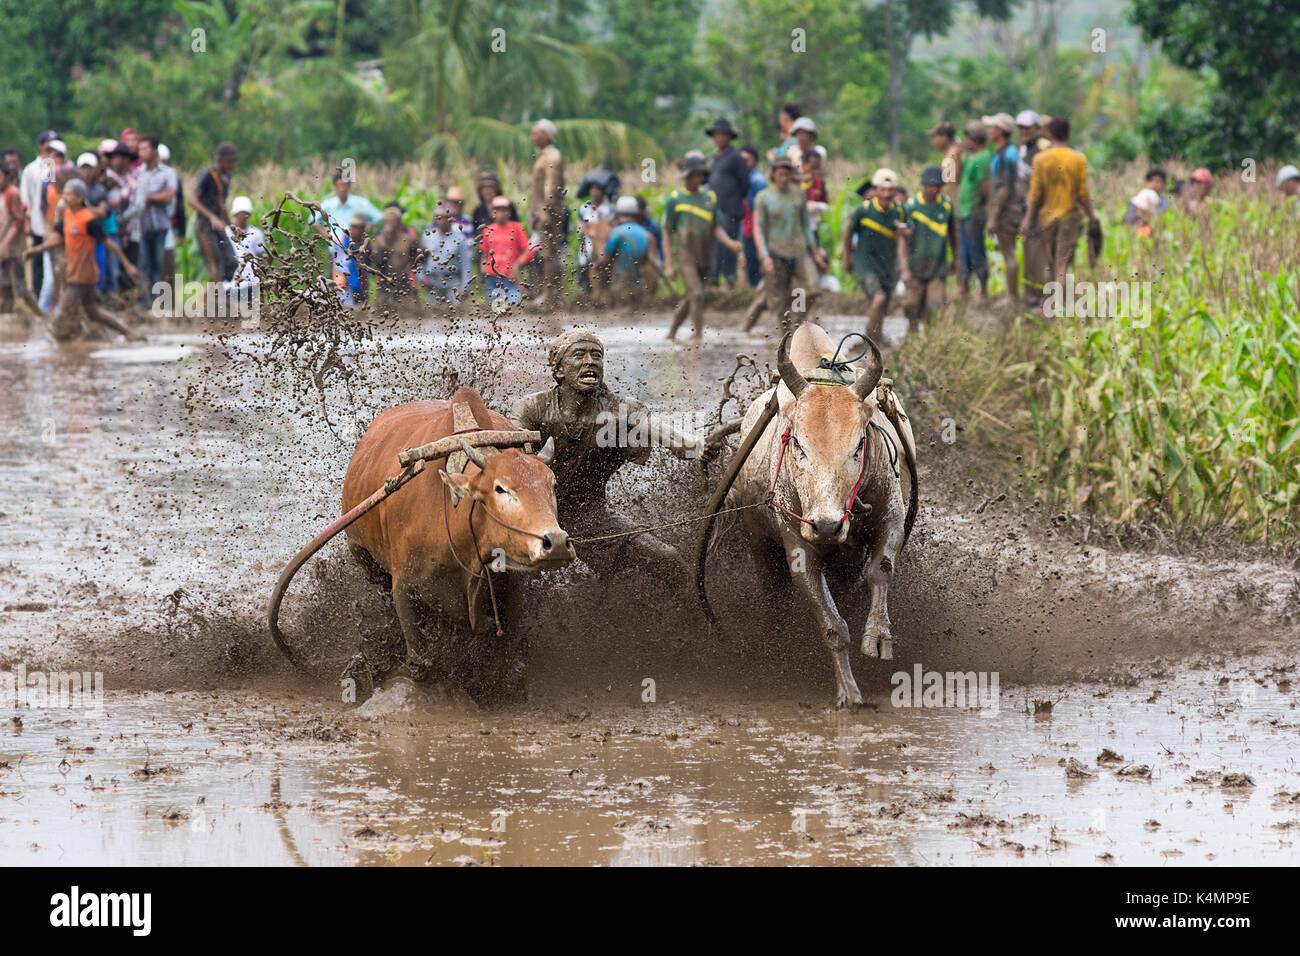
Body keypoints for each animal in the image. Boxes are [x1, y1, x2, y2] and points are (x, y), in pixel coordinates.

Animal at [341, 386, 575, 704]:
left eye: (553, 485)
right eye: (500, 488)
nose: (557, 543)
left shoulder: (511, 591)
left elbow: (506, 658)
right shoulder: (403, 588)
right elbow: (422, 664)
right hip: (363, 556)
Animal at [722, 322, 918, 708]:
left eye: (859, 444)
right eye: (797, 443)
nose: (827, 525)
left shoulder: (891, 518)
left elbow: (880, 570)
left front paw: (878, 637)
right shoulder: (799, 547)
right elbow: (832, 625)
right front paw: (849, 692)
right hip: (758, 539)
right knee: (773, 593)